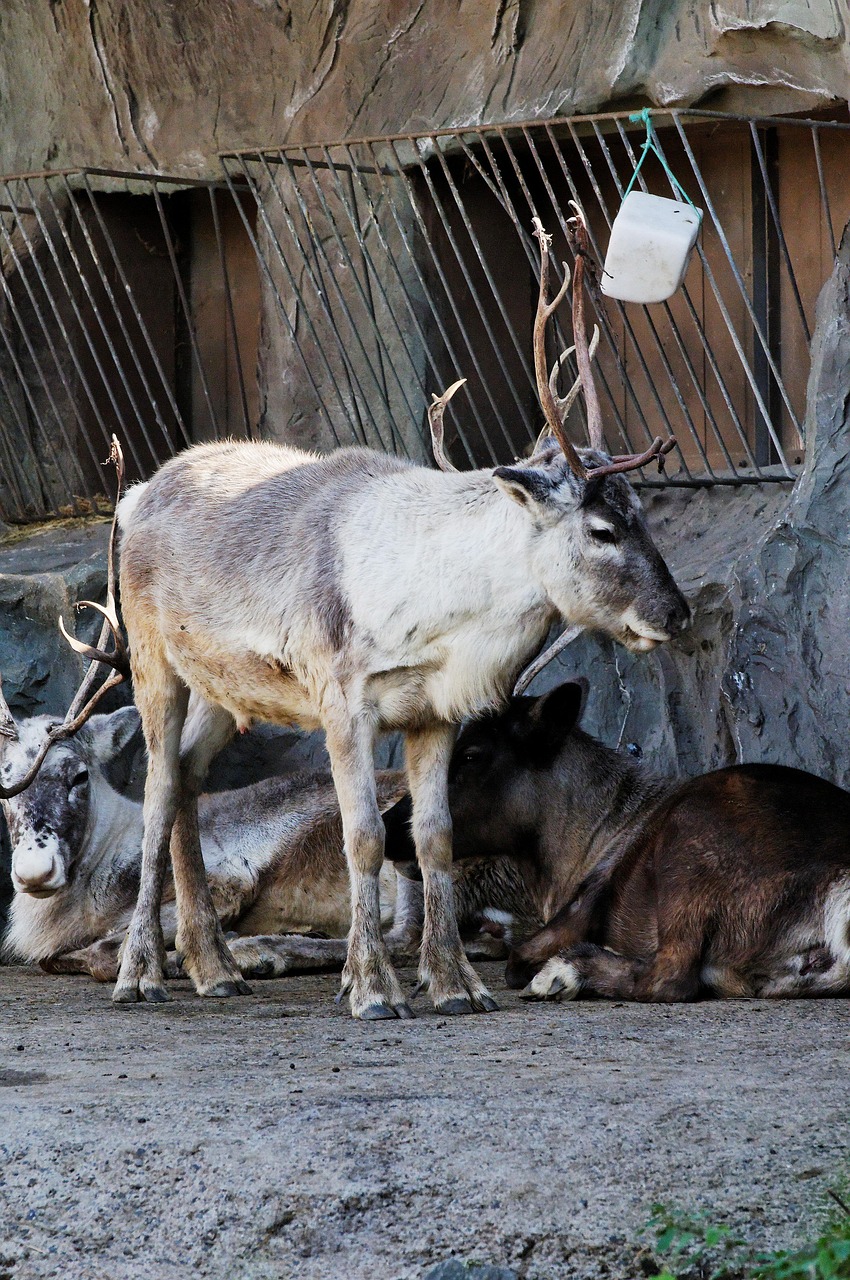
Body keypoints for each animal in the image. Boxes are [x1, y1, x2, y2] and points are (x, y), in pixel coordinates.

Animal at [73, 210, 689, 1018]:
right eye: (603, 529)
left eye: (644, 511)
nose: (675, 612)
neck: (438, 617)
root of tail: (138, 493)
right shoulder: (343, 699)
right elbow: (363, 836)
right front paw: (370, 988)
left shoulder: (432, 713)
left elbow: (433, 837)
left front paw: (454, 985)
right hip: (151, 660)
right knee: (154, 797)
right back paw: (140, 974)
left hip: (222, 690)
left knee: (186, 784)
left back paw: (215, 967)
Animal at [438, 680, 850, 1003]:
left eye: (470, 755)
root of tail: (836, 890)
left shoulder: (589, 894)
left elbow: (519, 958)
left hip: (687, 840)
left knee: (669, 977)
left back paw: (566, 972)